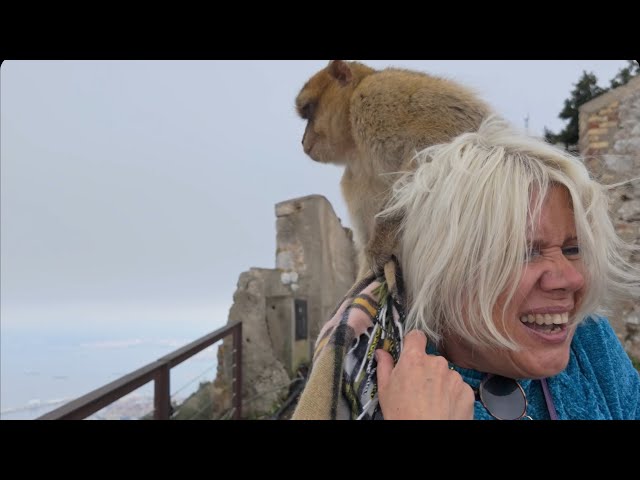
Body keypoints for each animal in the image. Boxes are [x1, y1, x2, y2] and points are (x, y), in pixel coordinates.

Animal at [295, 60, 492, 289]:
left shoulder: (377, 96)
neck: (356, 144)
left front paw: (380, 242)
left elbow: (441, 135)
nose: (303, 140)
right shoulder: (352, 180)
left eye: (309, 110)